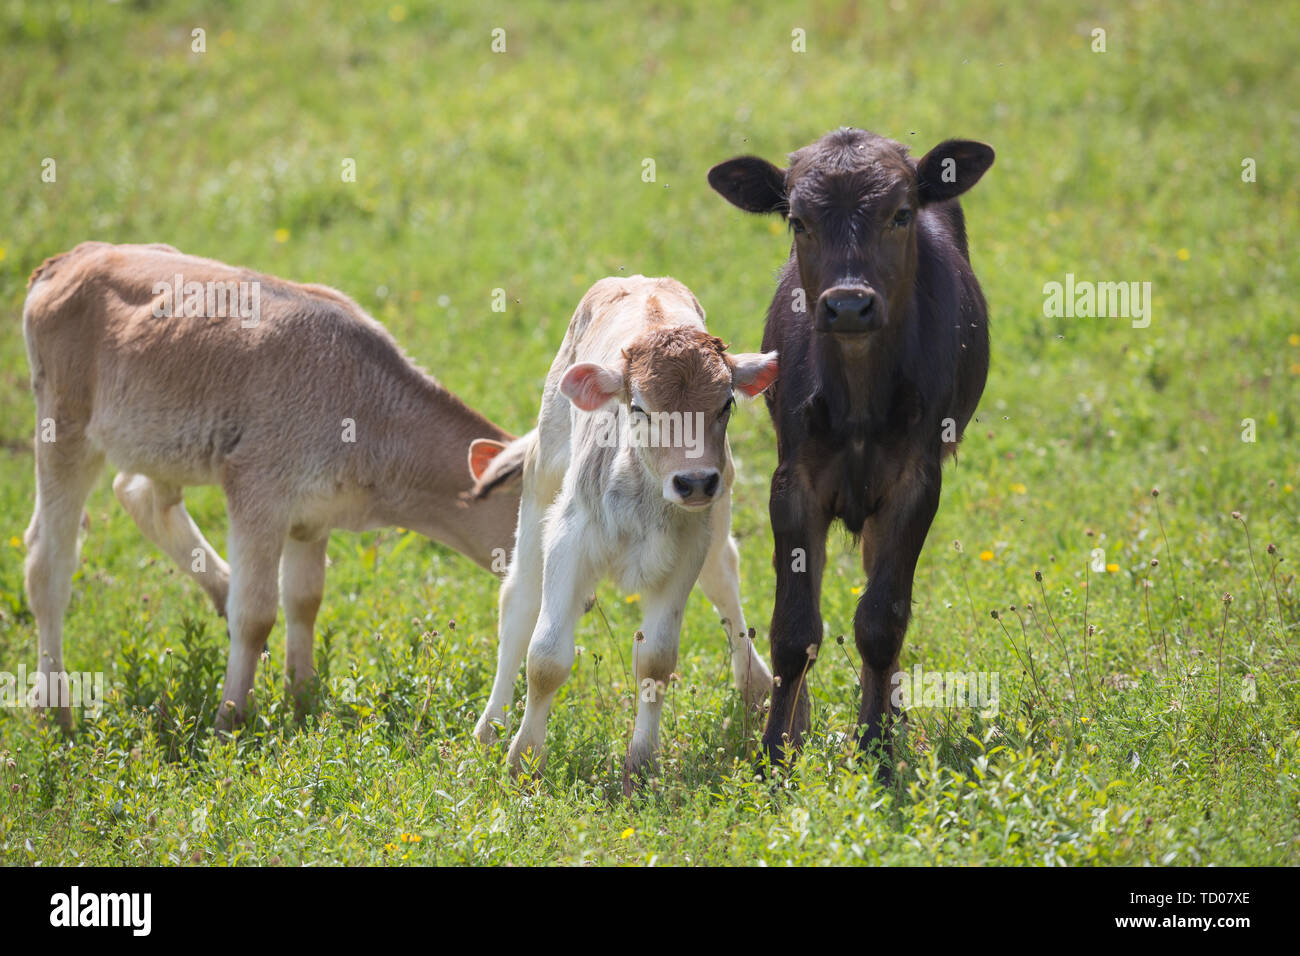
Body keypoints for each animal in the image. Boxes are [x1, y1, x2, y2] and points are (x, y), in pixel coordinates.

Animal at [20, 242, 523, 730]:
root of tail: (70, 258)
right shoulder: (258, 489)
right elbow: (257, 612)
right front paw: (229, 721)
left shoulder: (314, 514)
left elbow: (304, 600)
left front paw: (302, 703)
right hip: (64, 425)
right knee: (49, 563)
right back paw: (55, 712)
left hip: (161, 441)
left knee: (137, 493)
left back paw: (220, 588)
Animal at [467, 276, 778, 779]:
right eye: (639, 407)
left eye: (726, 403)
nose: (695, 481)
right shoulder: (569, 540)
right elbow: (546, 658)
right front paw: (523, 760)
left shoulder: (688, 549)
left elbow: (655, 662)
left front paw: (642, 762)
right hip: (541, 486)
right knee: (519, 601)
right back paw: (490, 728)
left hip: (720, 509)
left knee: (723, 578)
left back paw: (756, 684)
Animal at [708, 127, 995, 773]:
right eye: (798, 221)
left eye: (900, 213)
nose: (847, 305)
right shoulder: (792, 483)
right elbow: (793, 630)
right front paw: (775, 753)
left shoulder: (917, 483)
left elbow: (881, 621)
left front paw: (877, 748)